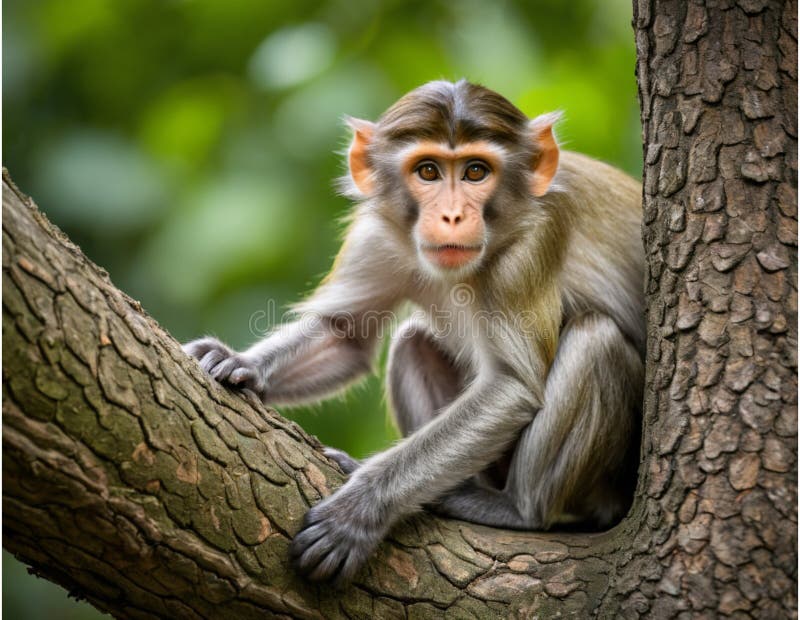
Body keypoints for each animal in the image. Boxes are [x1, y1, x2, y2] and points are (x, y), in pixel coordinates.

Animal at [184, 79, 645, 585]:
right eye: (427, 171)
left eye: (476, 171)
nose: (452, 215)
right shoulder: (378, 235)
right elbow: (345, 335)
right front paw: (239, 363)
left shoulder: (532, 245)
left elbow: (512, 386)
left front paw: (361, 509)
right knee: (412, 343)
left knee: (596, 337)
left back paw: (517, 509)